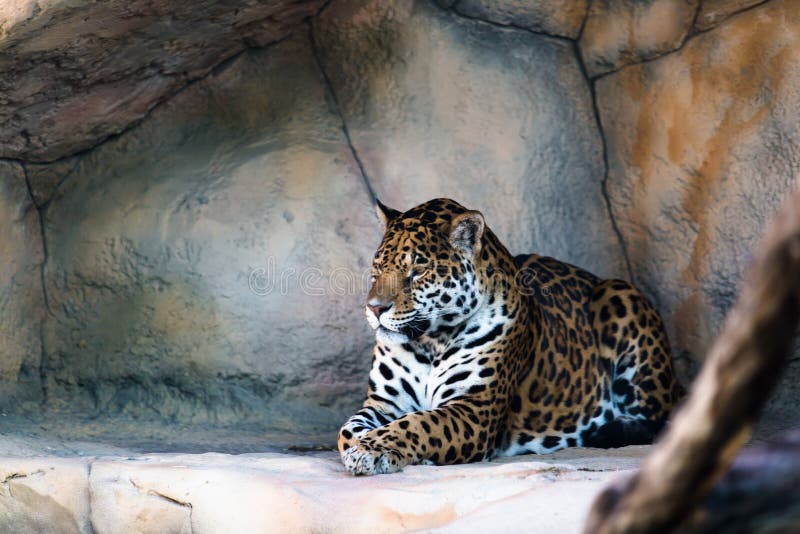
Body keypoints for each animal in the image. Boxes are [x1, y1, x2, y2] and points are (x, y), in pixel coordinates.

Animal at [339, 198, 683, 475]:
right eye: (378, 266)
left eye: (418, 271)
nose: (374, 308)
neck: (429, 341)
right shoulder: (384, 403)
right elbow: (348, 430)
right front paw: (367, 445)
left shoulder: (474, 408)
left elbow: (419, 424)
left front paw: (372, 451)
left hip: (620, 295)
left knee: (661, 421)